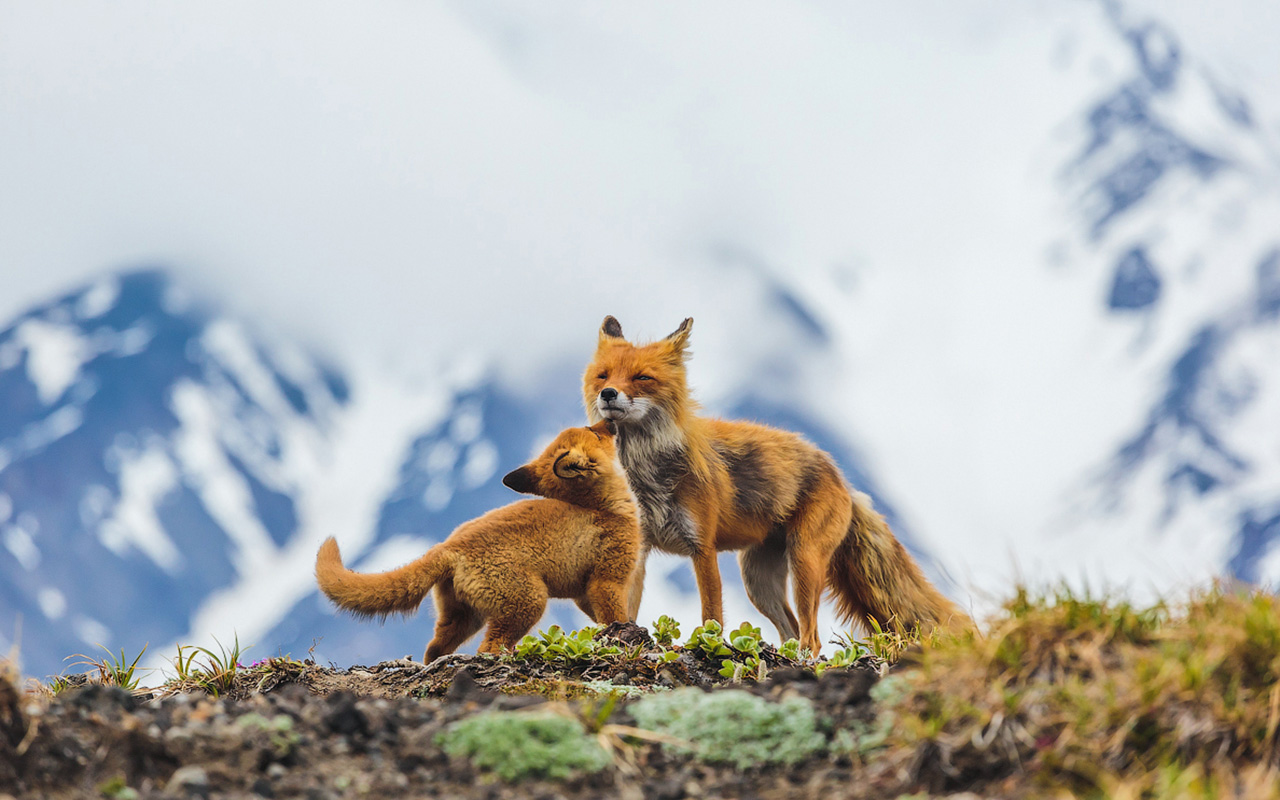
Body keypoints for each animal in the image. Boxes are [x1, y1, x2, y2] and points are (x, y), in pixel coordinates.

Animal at [314, 422, 640, 662]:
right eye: (594, 431)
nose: (610, 419)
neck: (601, 507)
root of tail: (449, 546)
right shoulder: (606, 580)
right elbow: (615, 618)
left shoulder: (583, 593)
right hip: (528, 603)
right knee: (489, 647)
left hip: (464, 617)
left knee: (434, 649)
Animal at [583, 316, 968, 654]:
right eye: (603, 375)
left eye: (642, 377)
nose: (608, 393)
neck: (649, 474)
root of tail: (841, 477)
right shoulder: (640, 547)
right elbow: (627, 608)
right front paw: (622, 637)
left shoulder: (702, 548)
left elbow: (711, 617)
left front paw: (705, 646)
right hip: (759, 583)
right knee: (792, 630)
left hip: (804, 562)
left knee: (811, 637)